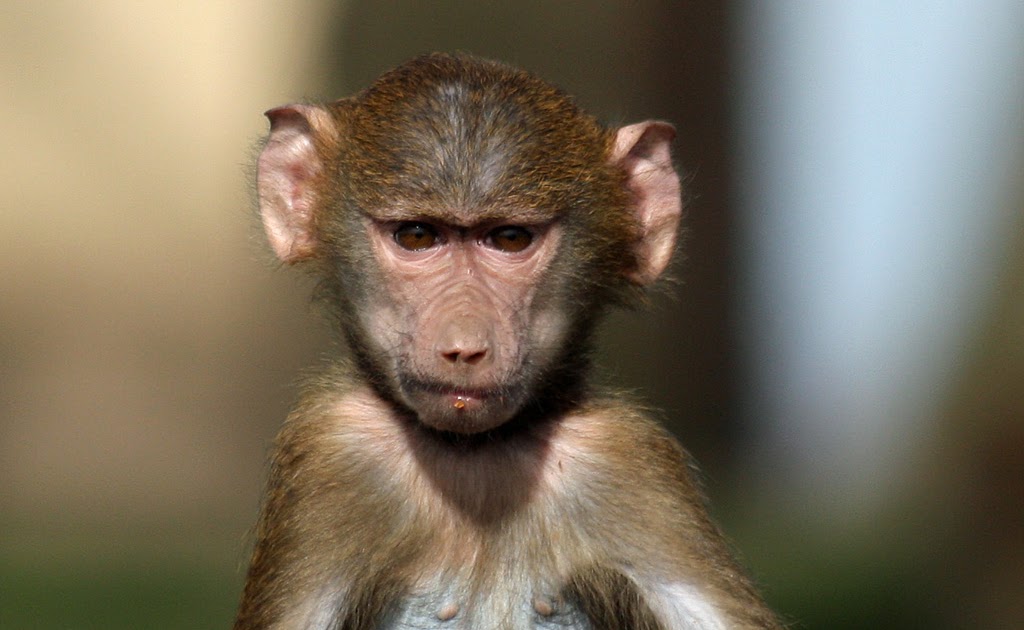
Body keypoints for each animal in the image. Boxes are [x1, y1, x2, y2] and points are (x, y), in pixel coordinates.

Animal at [235, 53, 779, 629]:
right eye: (416, 235)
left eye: (510, 238)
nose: (465, 347)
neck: (476, 455)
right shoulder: (331, 456)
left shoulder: (630, 462)